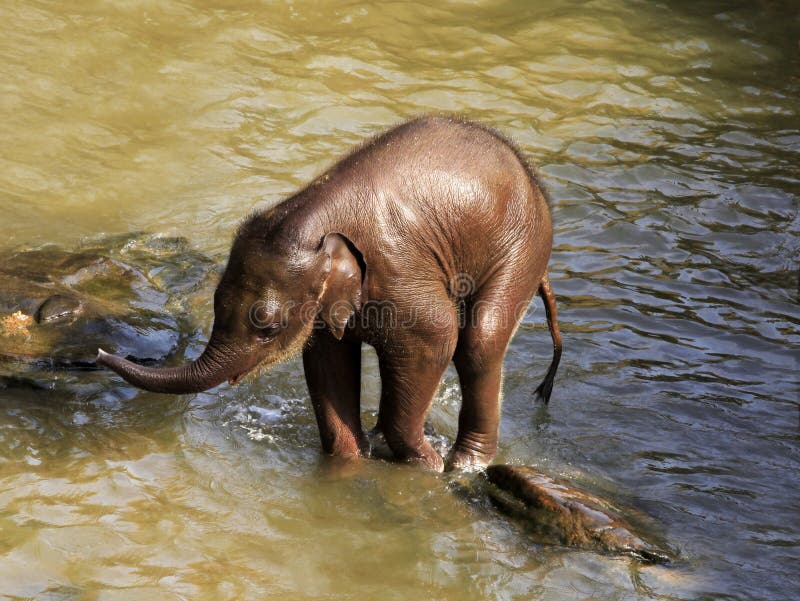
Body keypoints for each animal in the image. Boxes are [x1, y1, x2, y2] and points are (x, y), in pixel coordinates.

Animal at [98, 116, 563, 472]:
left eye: (268, 329)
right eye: (214, 304)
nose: (102, 354)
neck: (316, 216)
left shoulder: (400, 270)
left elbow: (437, 336)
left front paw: (426, 466)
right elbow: (328, 363)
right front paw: (351, 461)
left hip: (522, 244)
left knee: (479, 342)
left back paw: (466, 464)